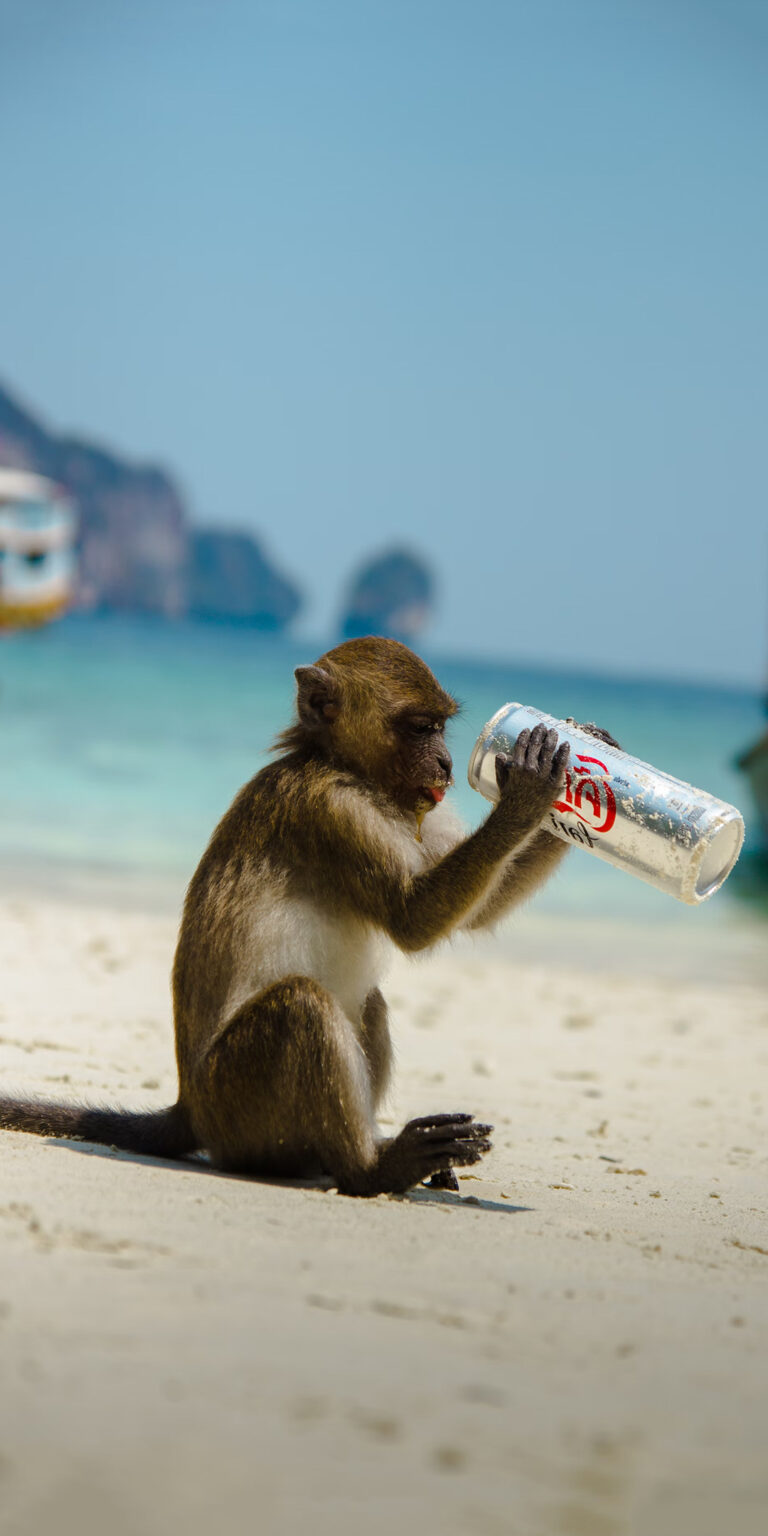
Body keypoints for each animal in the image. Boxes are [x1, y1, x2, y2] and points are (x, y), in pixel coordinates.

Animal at [0, 637, 617, 1196]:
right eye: (421, 727)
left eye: (442, 728)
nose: (445, 763)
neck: (342, 767)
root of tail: (190, 1106)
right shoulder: (331, 810)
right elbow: (412, 920)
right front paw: (530, 790)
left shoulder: (417, 808)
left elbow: (473, 910)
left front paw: (586, 776)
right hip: (235, 1106)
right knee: (302, 1004)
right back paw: (369, 1170)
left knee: (365, 1001)